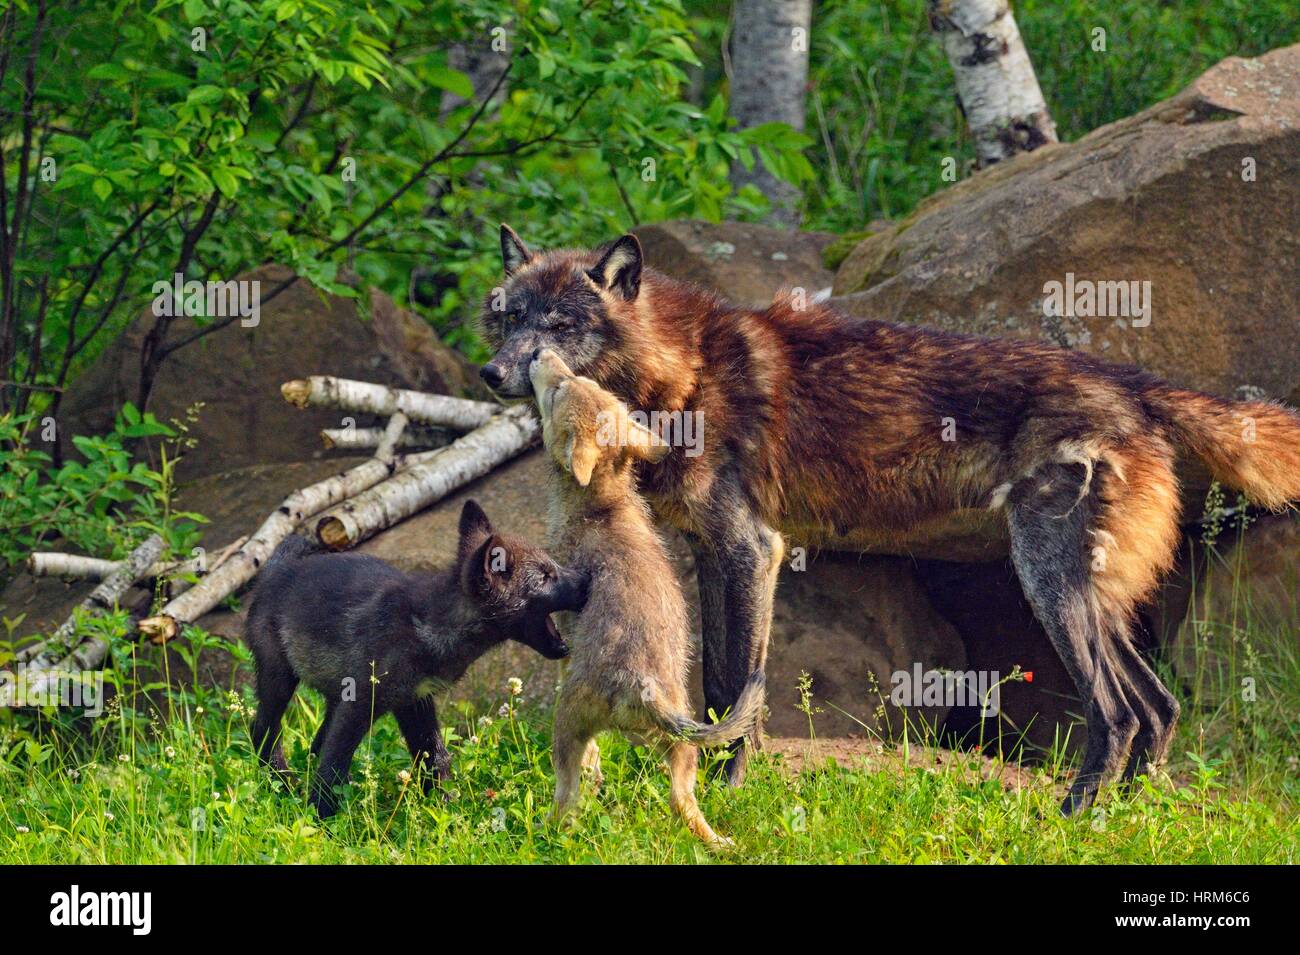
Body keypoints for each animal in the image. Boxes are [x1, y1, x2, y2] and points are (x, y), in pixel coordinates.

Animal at [244, 500, 590, 817]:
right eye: (545, 576)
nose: (589, 579)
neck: (429, 626)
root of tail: (275, 570)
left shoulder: (414, 702)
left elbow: (435, 759)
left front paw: (446, 814)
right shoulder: (362, 702)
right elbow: (334, 764)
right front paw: (321, 820)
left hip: (333, 696)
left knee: (315, 744)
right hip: (279, 679)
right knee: (262, 730)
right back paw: (283, 784)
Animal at [530, 348, 764, 846]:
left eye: (560, 388)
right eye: (575, 379)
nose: (541, 352)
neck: (605, 507)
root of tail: (641, 685)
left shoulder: (561, 639)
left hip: (565, 726)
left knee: (567, 797)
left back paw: (543, 831)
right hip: (681, 754)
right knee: (684, 805)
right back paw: (722, 844)